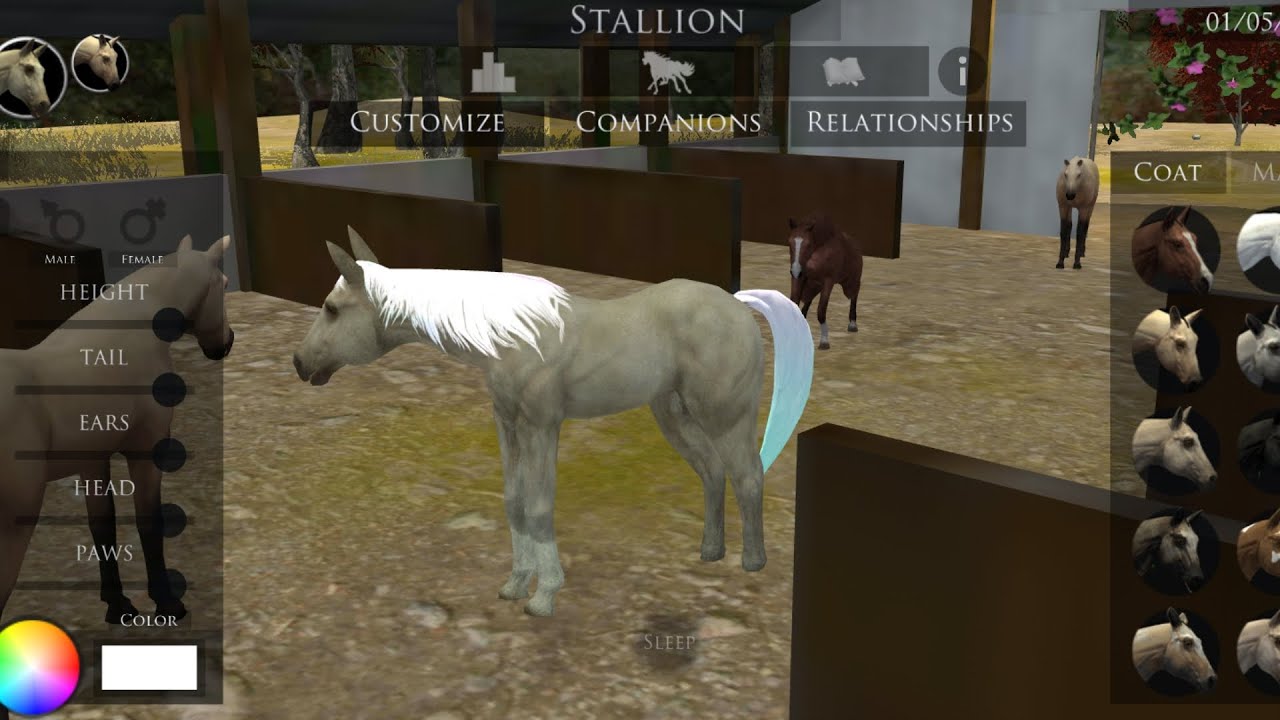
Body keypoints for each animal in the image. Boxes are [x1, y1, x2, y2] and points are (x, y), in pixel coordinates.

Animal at [0, 235, 233, 636]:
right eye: (225, 284)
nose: (226, 344)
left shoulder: (93, 458)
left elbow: (102, 526)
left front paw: (117, 603)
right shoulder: (145, 450)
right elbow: (147, 521)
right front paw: (167, 603)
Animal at [292, 228, 813, 617]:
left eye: (332, 309)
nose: (299, 364)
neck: (509, 334)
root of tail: (737, 304)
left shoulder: (543, 424)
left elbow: (540, 505)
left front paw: (543, 596)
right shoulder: (507, 422)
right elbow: (513, 502)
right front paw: (514, 584)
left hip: (724, 415)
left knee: (748, 476)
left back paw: (751, 561)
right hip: (673, 413)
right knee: (711, 473)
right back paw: (710, 552)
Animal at [787, 214, 863, 350]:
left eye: (808, 244)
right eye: (789, 243)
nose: (796, 271)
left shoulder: (828, 281)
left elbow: (821, 311)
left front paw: (824, 341)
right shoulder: (801, 279)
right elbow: (794, 303)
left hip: (851, 282)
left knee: (854, 296)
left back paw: (853, 324)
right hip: (814, 285)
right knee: (808, 300)